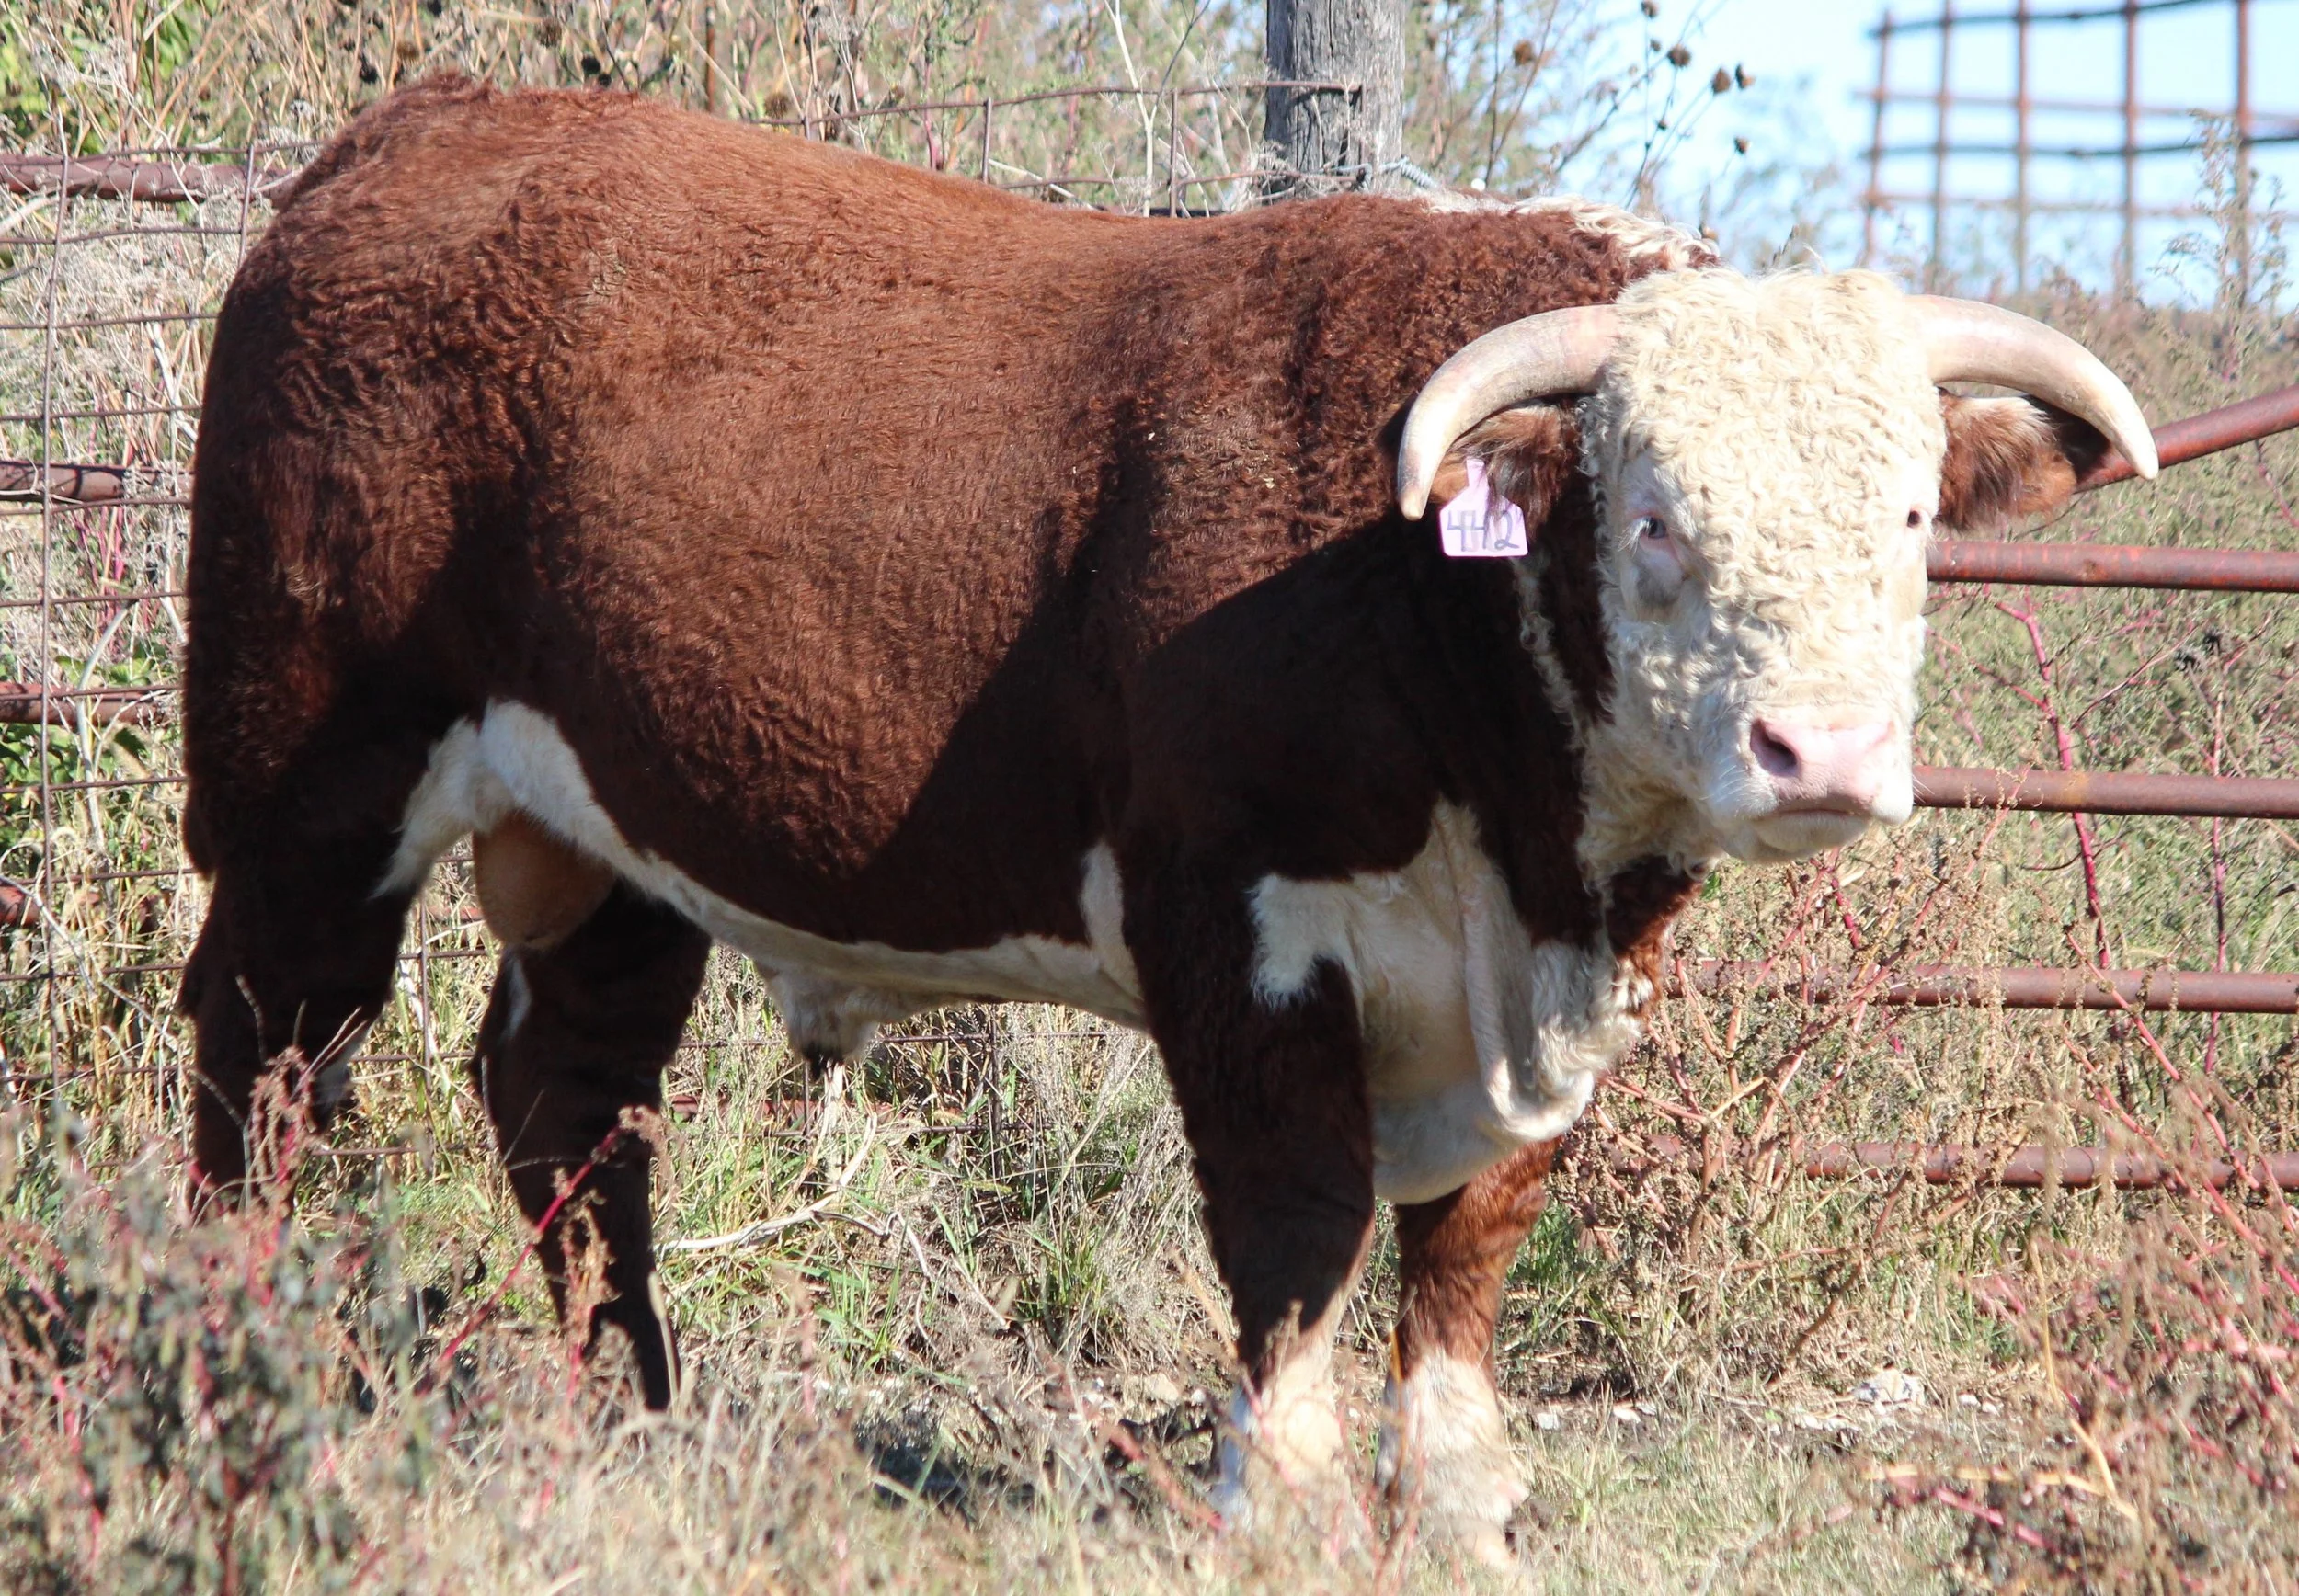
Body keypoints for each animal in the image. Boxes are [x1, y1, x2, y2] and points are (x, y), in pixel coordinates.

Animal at [181, 75, 2155, 1561]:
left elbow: (1471, 1242)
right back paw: (227, 1338)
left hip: (609, 836)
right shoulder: (1240, 919)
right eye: (1652, 514)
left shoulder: (1565, 1000)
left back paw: (635, 1418)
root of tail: (429, 120)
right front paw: (1275, 1500)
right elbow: (1298, 1216)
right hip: (309, 780)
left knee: (567, 1099)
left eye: (1915, 513)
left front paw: (1457, 1507)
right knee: (262, 1050)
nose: (1821, 751)